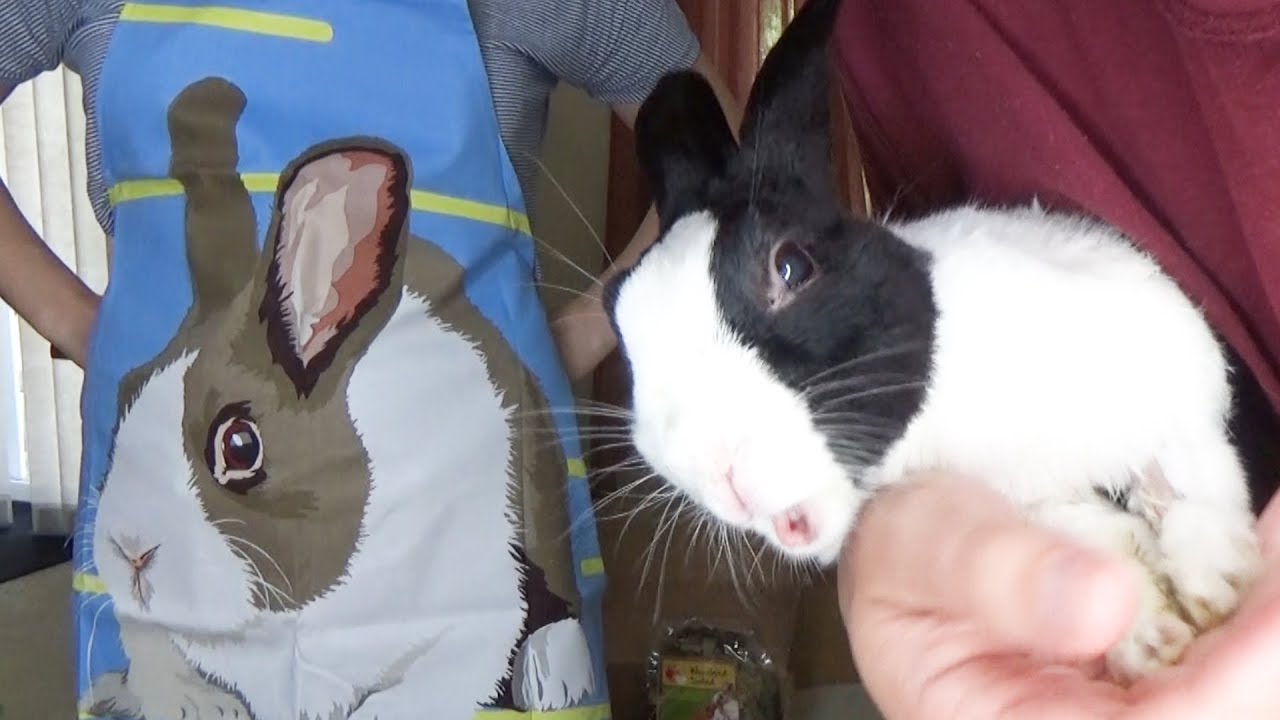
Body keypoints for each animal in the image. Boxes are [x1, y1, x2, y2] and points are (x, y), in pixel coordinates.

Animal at [82, 77, 593, 720]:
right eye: (123, 399)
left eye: (239, 446)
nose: (131, 552)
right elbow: (153, 647)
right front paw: (196, 704)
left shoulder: (473, 620)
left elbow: (419, 690)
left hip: (541, 491)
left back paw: (557, 677)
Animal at [603, 0, 1262, 685]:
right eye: (617, 317)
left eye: (789, 267)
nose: (710, 465)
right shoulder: (1042, 504)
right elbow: (1108, 547)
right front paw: (1148, 637)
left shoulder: (1180, 388)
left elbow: (1193, 481)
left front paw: (1215, 585)